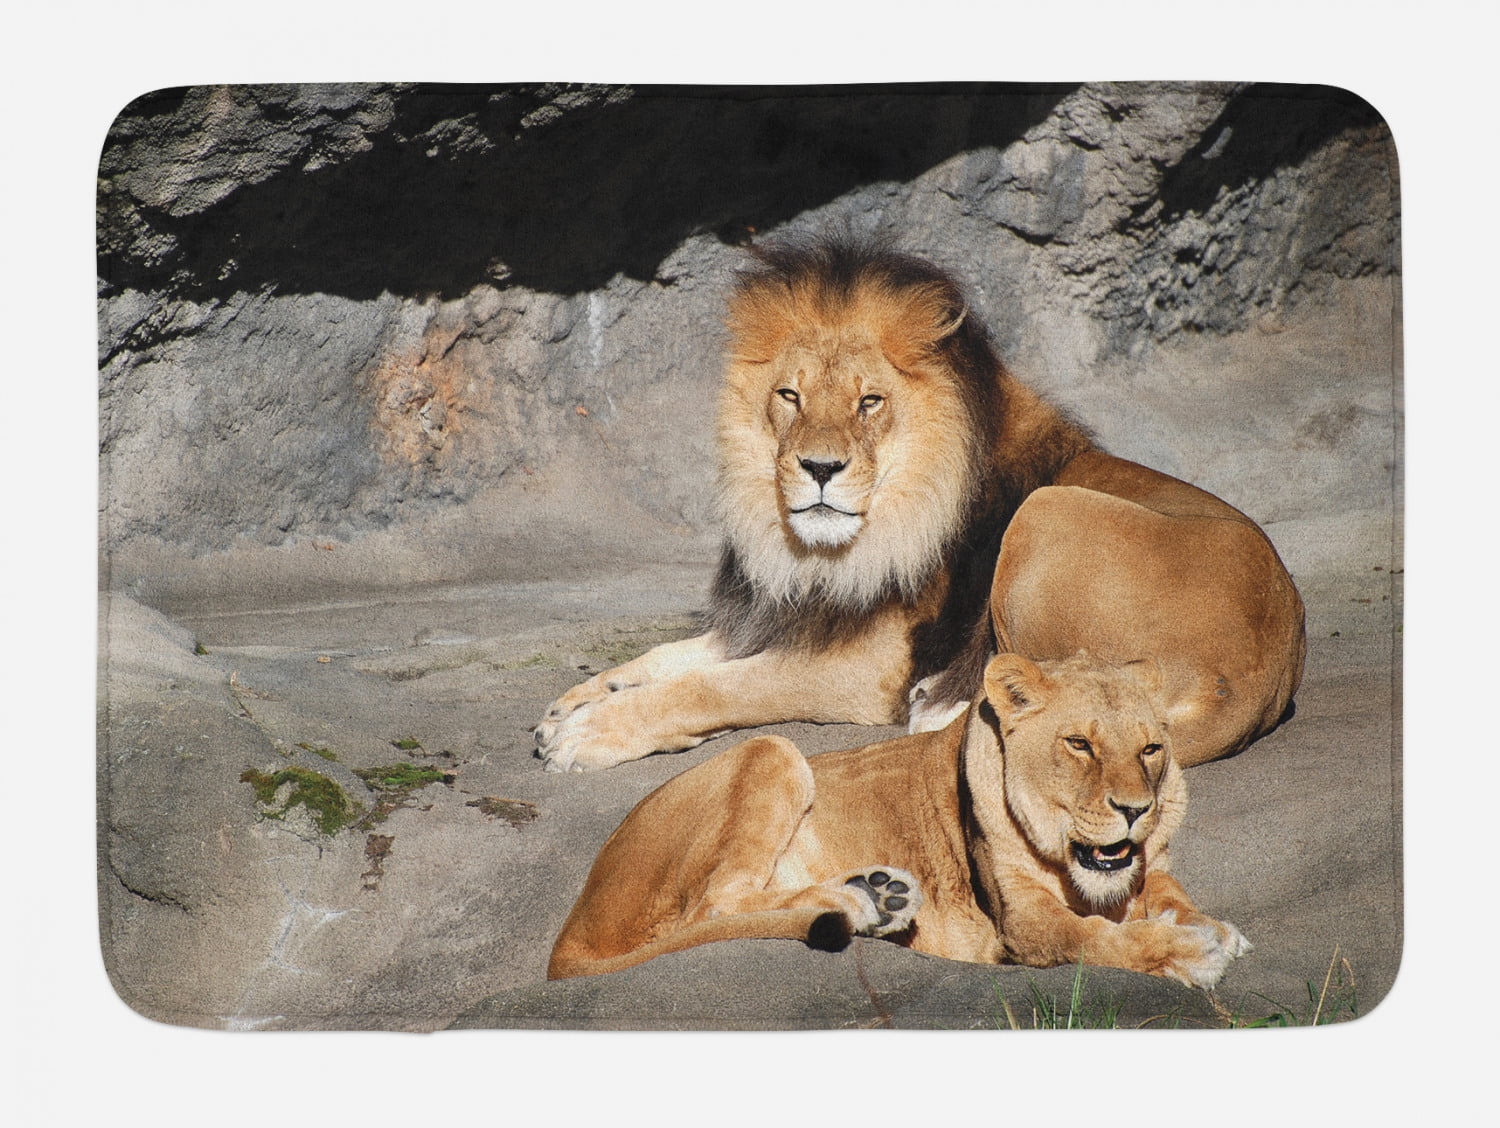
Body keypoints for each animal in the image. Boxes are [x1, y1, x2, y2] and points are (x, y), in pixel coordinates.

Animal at [534, 238, 1304, 772]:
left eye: (869, 401)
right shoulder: (791, 612)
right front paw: (576, 700)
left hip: (1048, 512)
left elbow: (713, 687)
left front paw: (589, 731)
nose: (819, 468)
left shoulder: (863, 669)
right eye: (790, 395)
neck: (823, 553)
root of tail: (1255, 684)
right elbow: (671, 655)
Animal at [548, 649, 1250, 988]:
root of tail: (572, 926)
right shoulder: (1020, 920)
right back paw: (859, 901)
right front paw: (1188, 951)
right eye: (1079, 744)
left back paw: (878, 895)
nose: (1135, 809)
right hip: (773, 750)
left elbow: (1171, 893)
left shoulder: (1149, 868)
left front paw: (1211, 927)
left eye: (1151, 749)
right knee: (717, 905)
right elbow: (1092, 939)